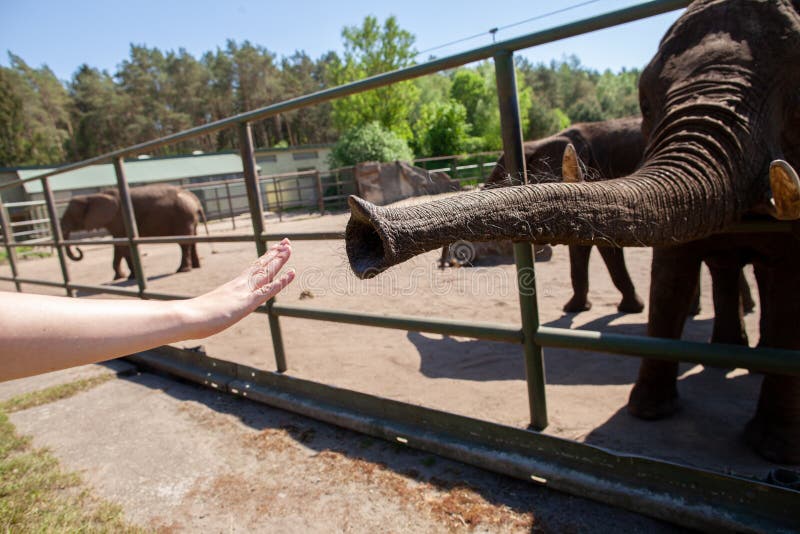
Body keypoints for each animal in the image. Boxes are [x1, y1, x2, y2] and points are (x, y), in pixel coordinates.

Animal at [60, 184, 207, 280]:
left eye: (71, 215)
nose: (79, 249)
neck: (92, 197)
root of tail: (194, 199)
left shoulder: (118, 218)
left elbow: (123, 246)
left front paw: (130, 277)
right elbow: (118, 246)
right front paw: (120, 277)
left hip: (183, 215)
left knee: (184, 243)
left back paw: (182, 270)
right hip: (189, 217)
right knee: (193, 240)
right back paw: (196, 267)